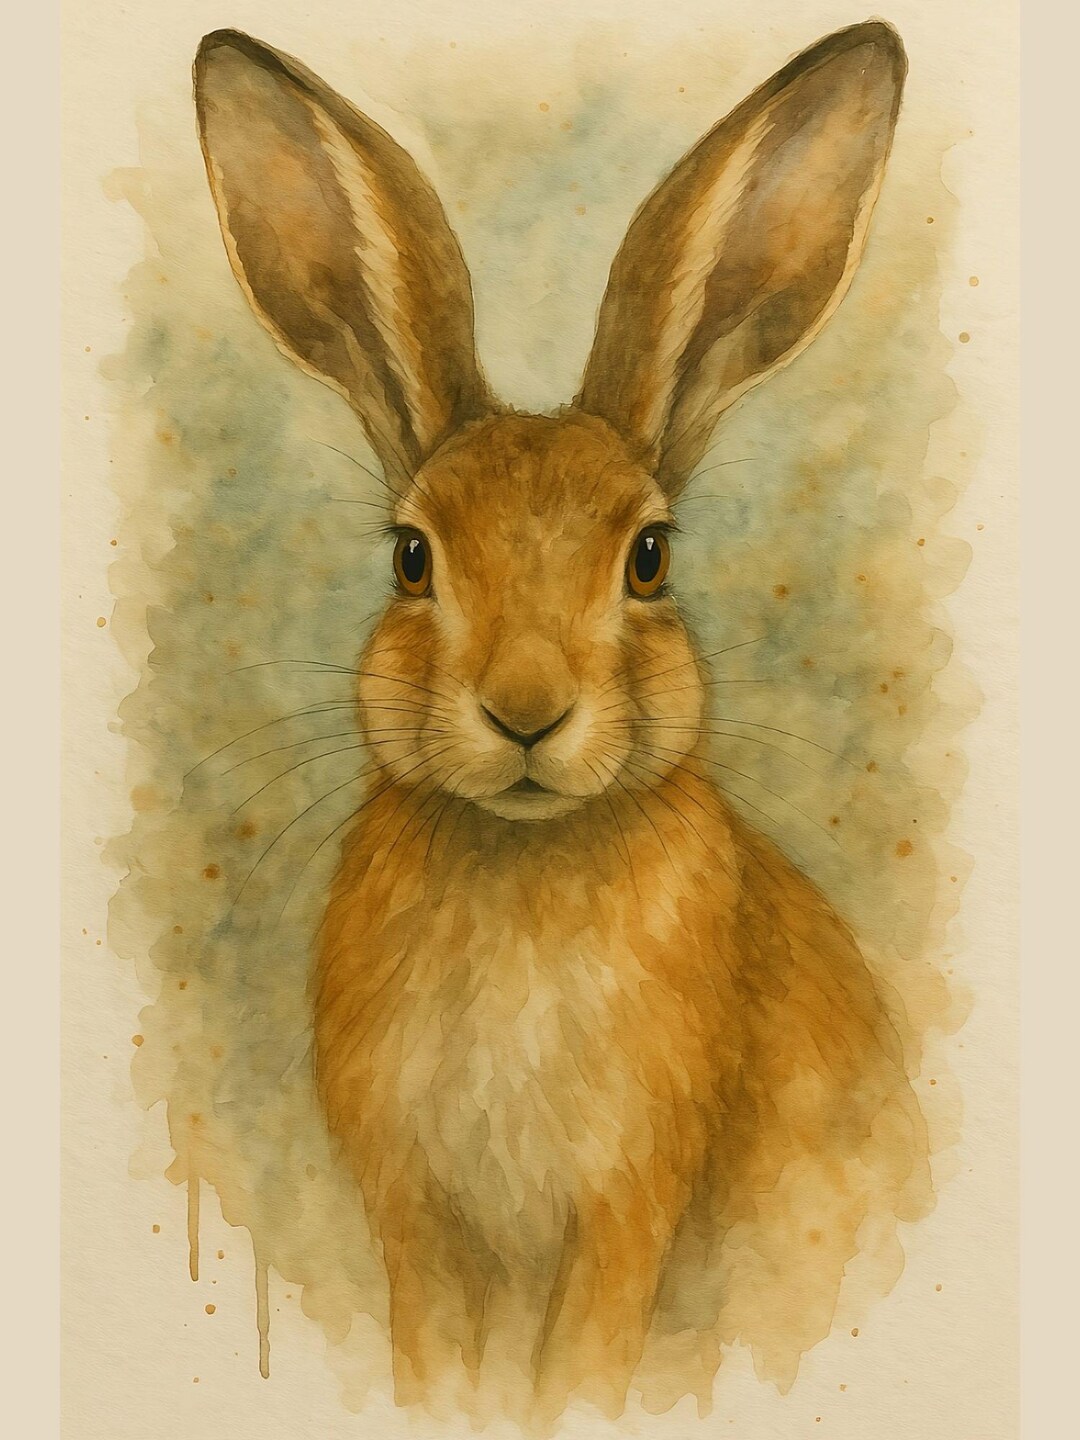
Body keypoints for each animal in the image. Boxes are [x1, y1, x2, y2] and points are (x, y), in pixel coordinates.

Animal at [194, 19, 932, 1425]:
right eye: (411, 558)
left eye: (649, 557)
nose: (526, 712)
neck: (523, 863)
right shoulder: (417, 1222)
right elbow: (434, 1369)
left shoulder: (628, 1208)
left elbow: (578, 1380)